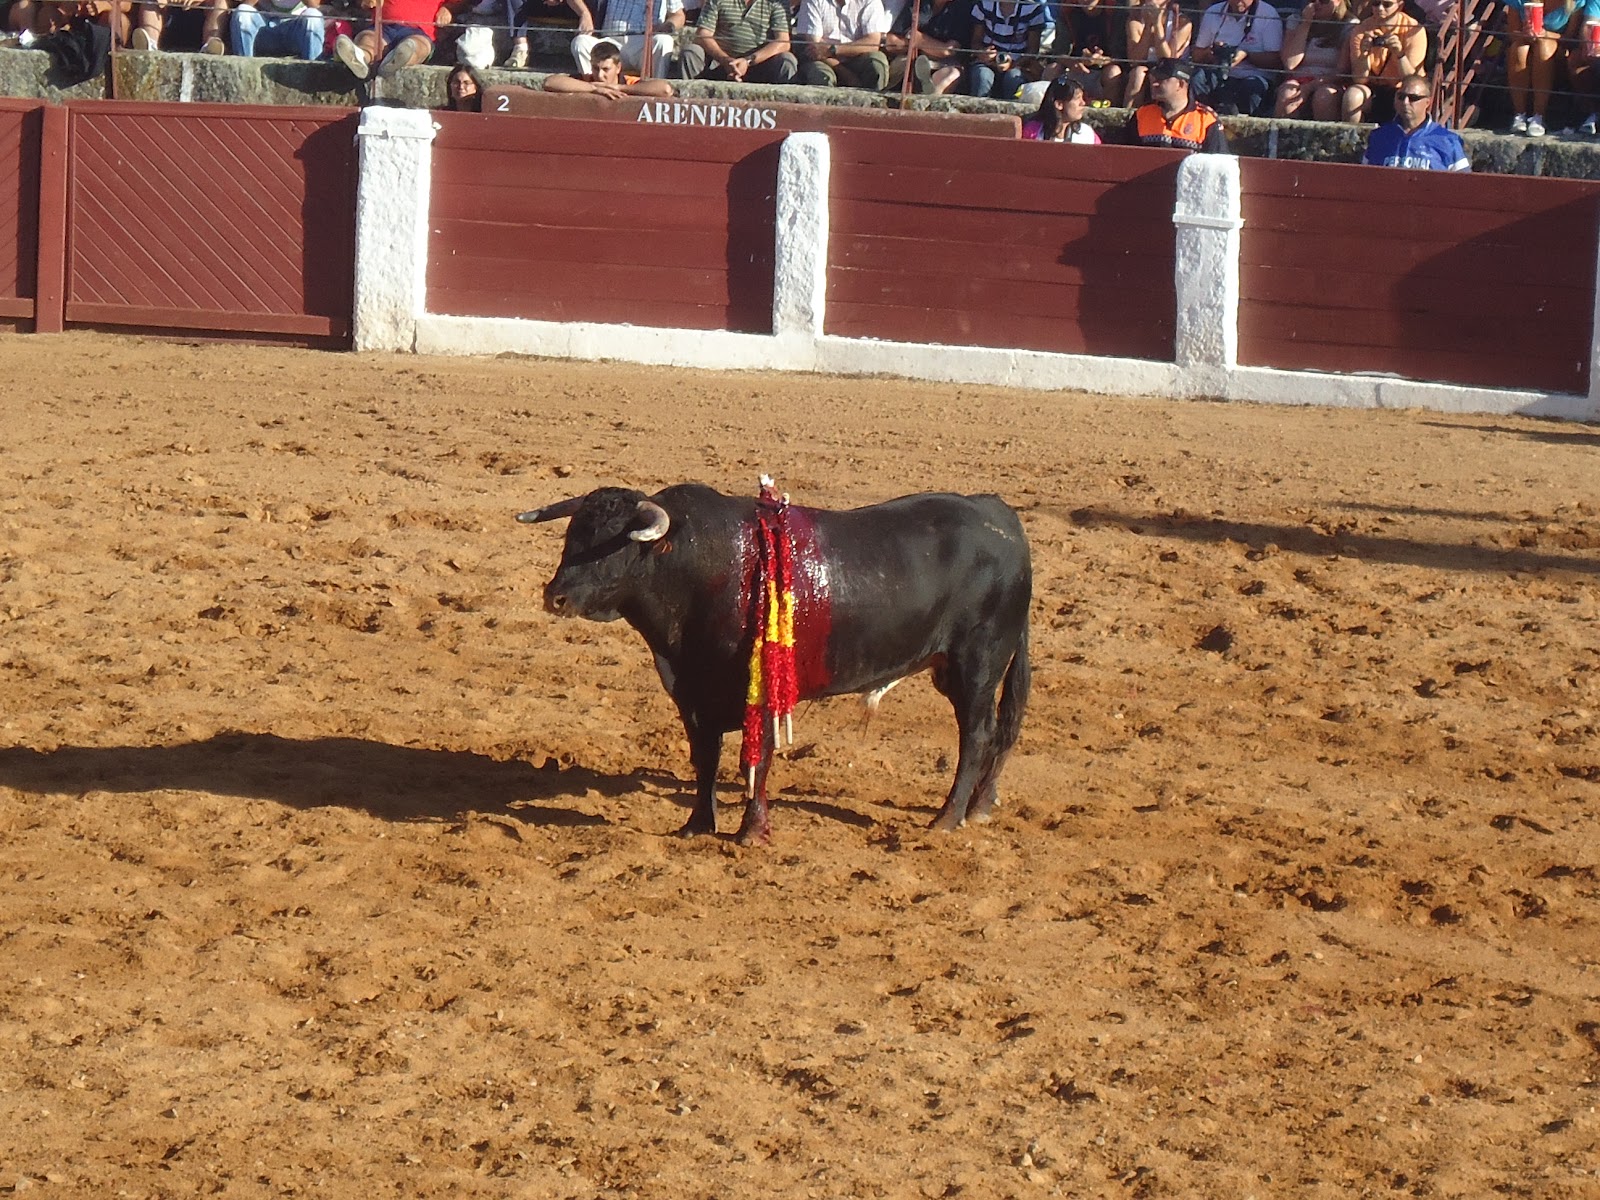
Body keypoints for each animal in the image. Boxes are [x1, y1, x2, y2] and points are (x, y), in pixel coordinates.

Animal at [517, 482, 1031, 844]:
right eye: (572, 535)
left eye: (615, 544)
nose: (555, 596)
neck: (701, 565)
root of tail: (997, 512)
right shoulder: (691, 695)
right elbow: (705, 758)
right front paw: (697, 825)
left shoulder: (760, 691)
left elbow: (757, 758)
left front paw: (750, 831)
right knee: (998, 734)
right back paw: (980, 807)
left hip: (977, 665)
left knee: (978, 735)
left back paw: (948, 817)